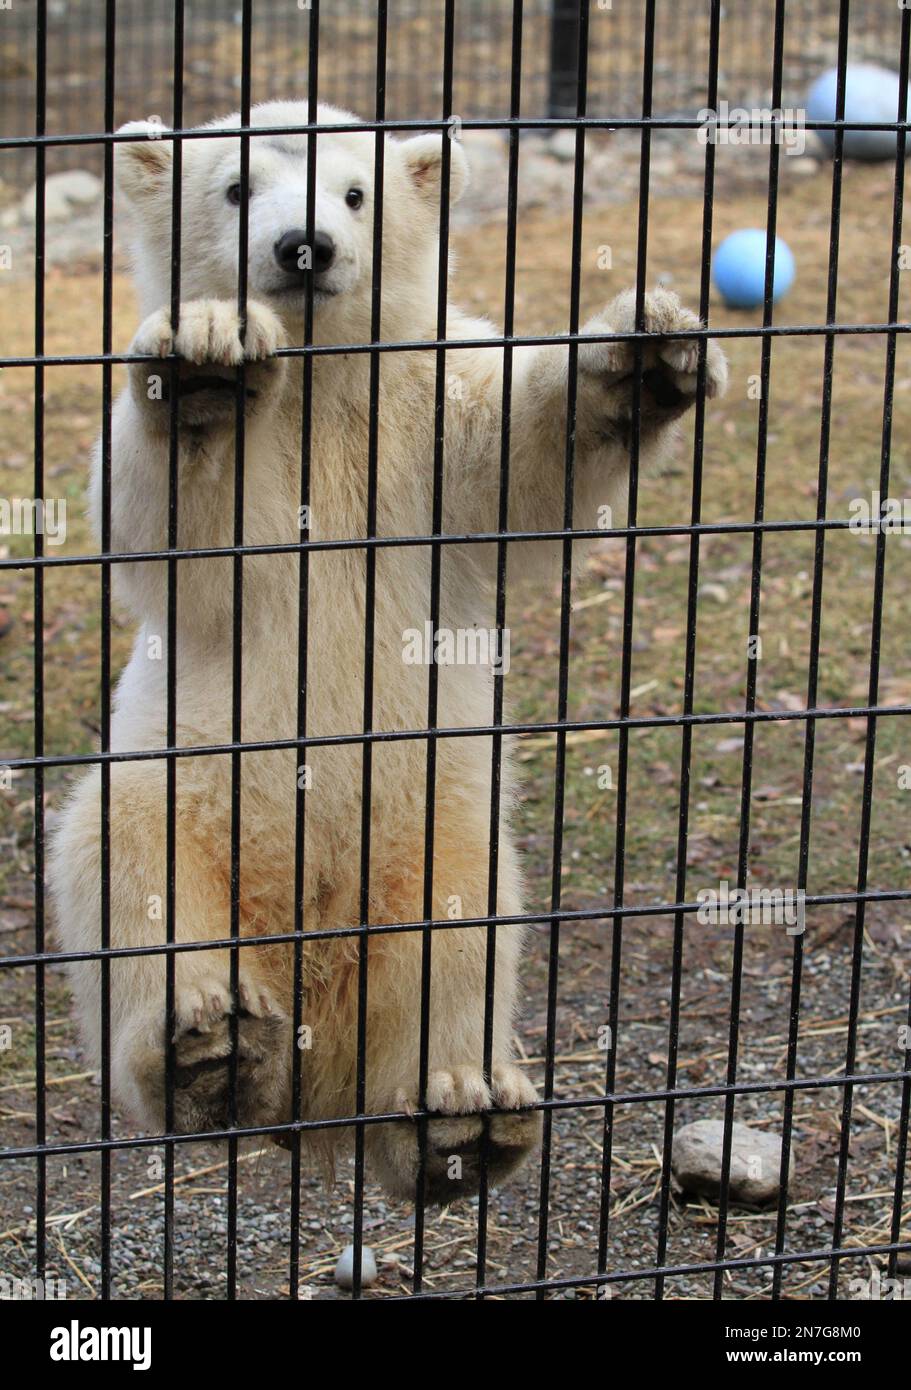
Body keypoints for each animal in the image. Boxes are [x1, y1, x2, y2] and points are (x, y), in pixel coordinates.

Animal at [48, 101, 728, 1204]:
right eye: (236, 185)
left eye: (358, 190)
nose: (306, 246)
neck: (322, 380)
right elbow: (171, 532)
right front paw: (203, 361)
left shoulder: (417, 411)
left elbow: (520, 457)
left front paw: (642, 350)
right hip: (184, 785)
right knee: (128, 874)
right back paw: (207, 1048)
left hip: (433, 823)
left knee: (456, 940)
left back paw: (459, 1111)